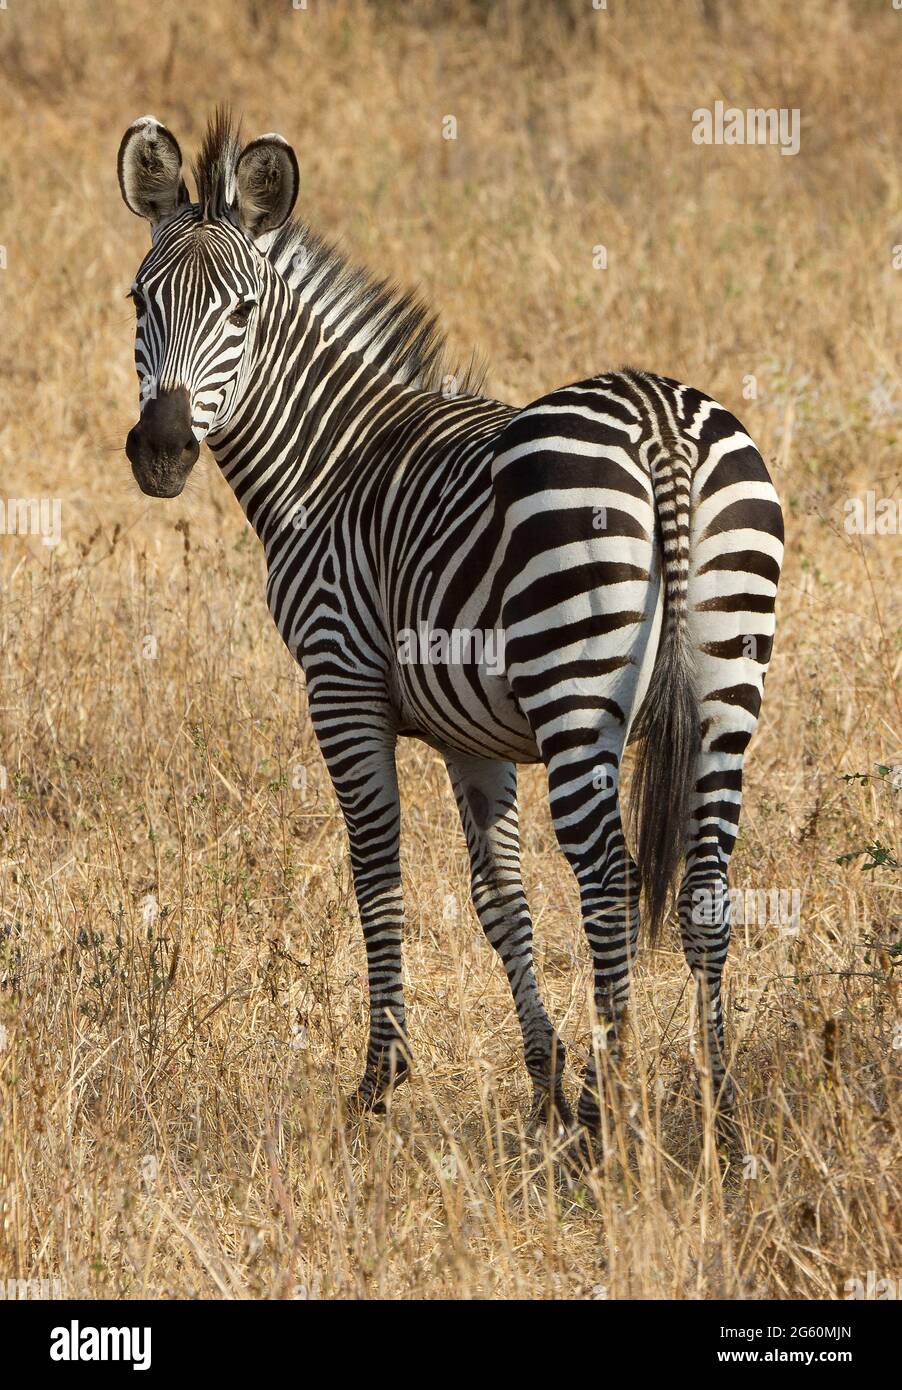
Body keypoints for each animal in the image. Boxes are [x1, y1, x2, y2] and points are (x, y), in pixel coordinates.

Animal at [118, 110, 783, 1138]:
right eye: (140, 300)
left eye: (242, 315)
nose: (160, 451)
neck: (331, 458)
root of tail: (659, 422)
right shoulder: (474, 736)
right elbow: (499, 896)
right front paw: (545, 1082)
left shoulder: (341, 685)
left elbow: (376, 870)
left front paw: (382, 1078)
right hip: (725, 683)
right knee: (707, 886)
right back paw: (718, 1111)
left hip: (574, 691)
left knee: (608, 882)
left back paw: (613, 1108)